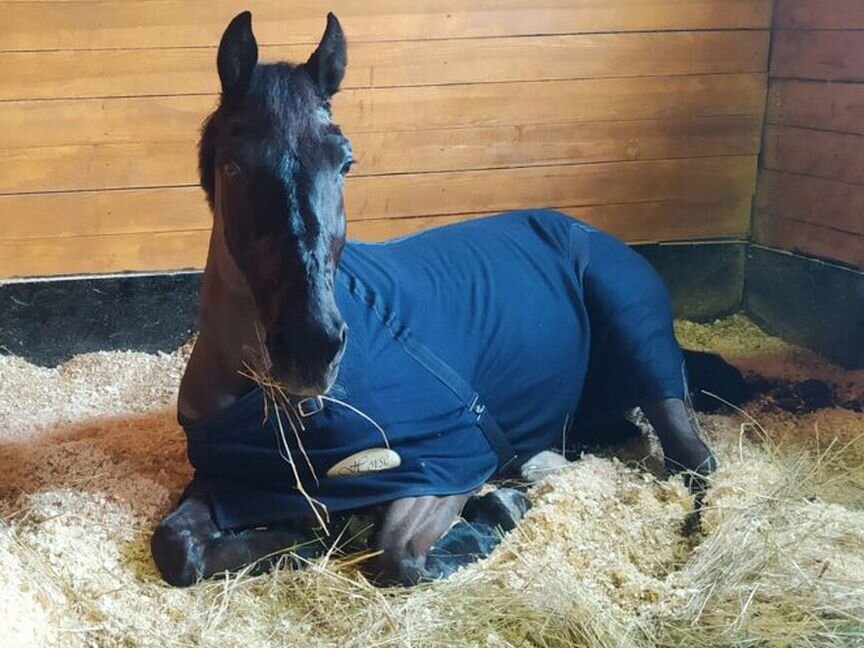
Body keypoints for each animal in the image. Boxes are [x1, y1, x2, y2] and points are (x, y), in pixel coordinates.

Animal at [151, 11, 742, 587]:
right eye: (234, 165)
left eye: (345, 162)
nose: (311, 346)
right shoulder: (228, 481)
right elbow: (178, 547)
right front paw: (302, 540)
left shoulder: (445, 464)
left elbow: (398, 555)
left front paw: (495, 510)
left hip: (643, 343)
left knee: (694, 462)